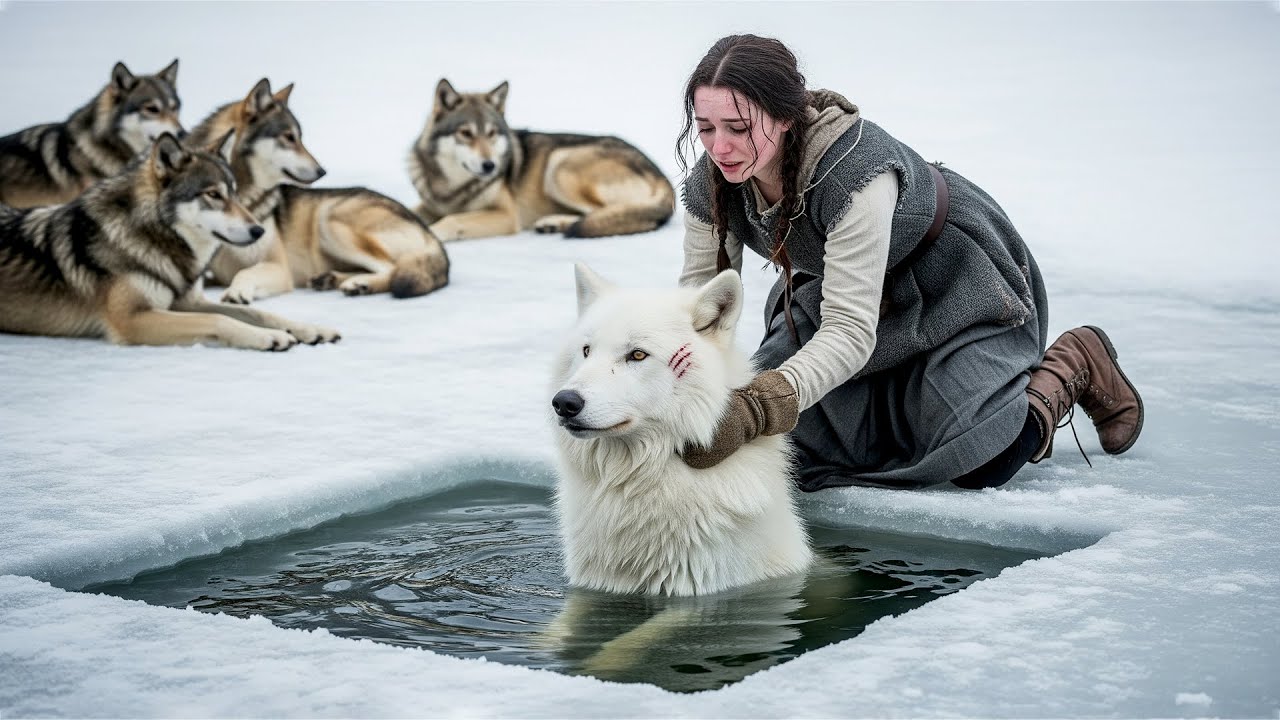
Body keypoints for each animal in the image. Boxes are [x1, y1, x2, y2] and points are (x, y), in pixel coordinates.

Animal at [0, 132, 339, 350]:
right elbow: (219, 319)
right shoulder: (134, 319)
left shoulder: (187, 302)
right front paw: (268, 337)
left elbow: (259, 313)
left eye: (233, 193)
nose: (259, 231)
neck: (155, 237)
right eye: (213, 195)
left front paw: (309, 329)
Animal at [188, 79, 448, 303]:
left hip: (329, 220)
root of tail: (431, 236)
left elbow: (245, 273)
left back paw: (360, 284)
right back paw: (331, 279)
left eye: (299, 137)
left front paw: (237, 292)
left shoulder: (278, 268)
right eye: (289, 137)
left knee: (393, 270)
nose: (321, 171)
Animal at [408, 79, 675, 242]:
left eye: (492, 133)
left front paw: (430, 234)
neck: (452, 188)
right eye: (465, 133)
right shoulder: (430, 205)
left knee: (607, 213)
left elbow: (451, 220)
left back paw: (557, 223)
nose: (490, 165)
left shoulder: (506, 216)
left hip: (559, 166)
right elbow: (414, 213)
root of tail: (663, 178)